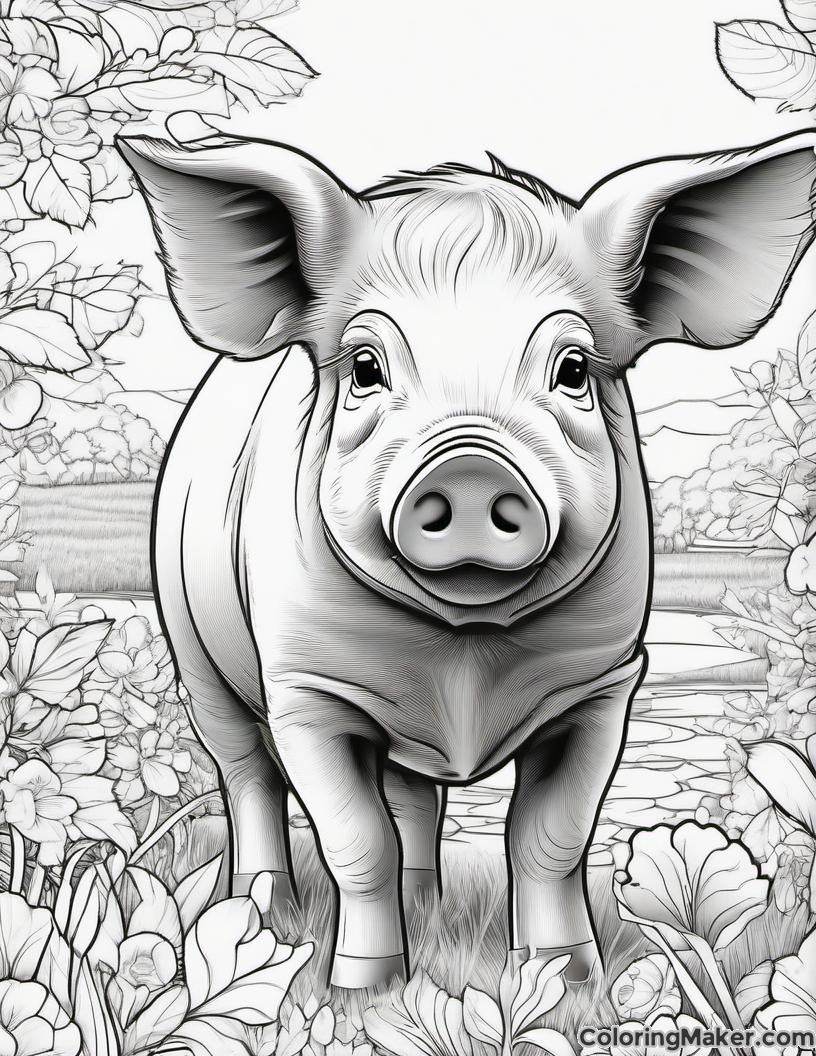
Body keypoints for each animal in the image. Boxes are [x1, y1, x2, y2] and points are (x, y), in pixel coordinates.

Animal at [119, 131, 816, 989]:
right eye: (365, 367)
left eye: (574, 369)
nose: (471, 470)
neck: (462, 657)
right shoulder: (305, 690)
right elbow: (356, 840)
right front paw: (362, 989)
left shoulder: (604, 685)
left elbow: (549, 838)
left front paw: (566, 982)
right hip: (196, 652)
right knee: (246, 774)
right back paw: (261, 909)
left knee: (414, 798)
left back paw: (428, 906)